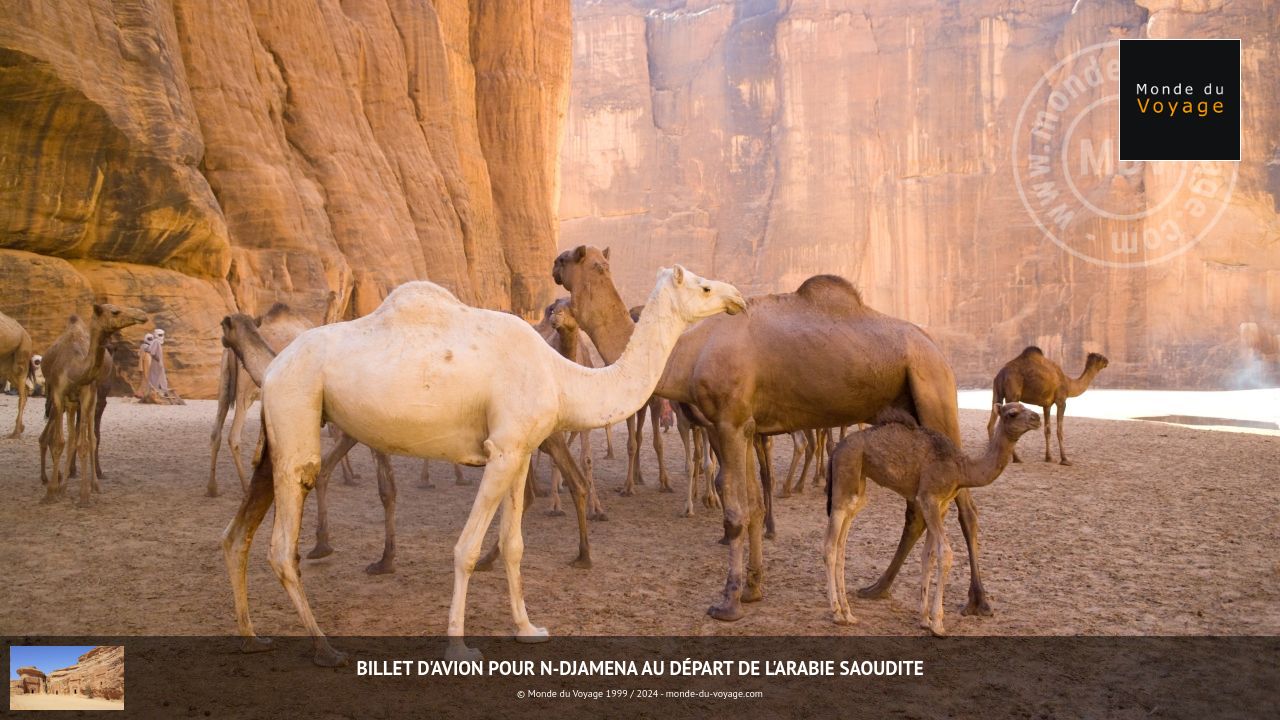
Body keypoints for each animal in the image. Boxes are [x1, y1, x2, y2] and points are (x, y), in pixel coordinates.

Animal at [0, 310, 34, 438]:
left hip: (21, 361)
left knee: (23, 394)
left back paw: (15, 433)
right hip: (6, 368)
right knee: (26, 389)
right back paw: (20, 429)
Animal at [39, 303, 146, 504]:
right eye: (115, 312)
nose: (142, 314)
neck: (74, 368)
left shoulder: (88, 394)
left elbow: (85, 443)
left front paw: (84, 496)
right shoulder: (58, 394)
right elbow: (59, 442)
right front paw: (51, 493)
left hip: (85, 402)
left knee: (88, 438)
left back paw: (90, 485)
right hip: (69, 403)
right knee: (68, 438)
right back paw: (61, 486)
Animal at [225, 263, 747, 661]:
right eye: (703, 286)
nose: (739, 298)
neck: (561, 375)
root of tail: (273, 367)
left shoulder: (518, 450)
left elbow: (513, 545)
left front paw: (527, 628)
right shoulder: (503, 452)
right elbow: (468, 548)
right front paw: (458, 646)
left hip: (278, 432)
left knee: (235, 535)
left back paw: (251, 637)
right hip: (296, 411)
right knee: (281, 543)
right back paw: (325, 647)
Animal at [555, 243, 983, 620]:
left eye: (576, 257)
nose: (555, 264)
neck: (688, 353)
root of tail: (938, 350)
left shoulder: (727, 422)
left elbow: (735, 512)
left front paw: (727, 602)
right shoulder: (744, 427)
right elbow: (755, 507)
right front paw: (753, 588)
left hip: (934, 395)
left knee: (965, 504)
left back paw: (977, 601)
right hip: (909, 414)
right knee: (916, 509)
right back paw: (878, 587)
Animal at [819, 404, 1039, 632]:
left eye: (1024, 406)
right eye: (1012, 413)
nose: (1037, 418)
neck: (961, 469)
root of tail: (836, 451)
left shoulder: (942, 506)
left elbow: (929, 556)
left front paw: (925, 619)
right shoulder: (928, 498)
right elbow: (946, 553)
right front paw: (938, 623)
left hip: (857, 485)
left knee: (842, 544)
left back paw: (849, 613)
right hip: (845, 475)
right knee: (830, 545)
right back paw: (837, 613)